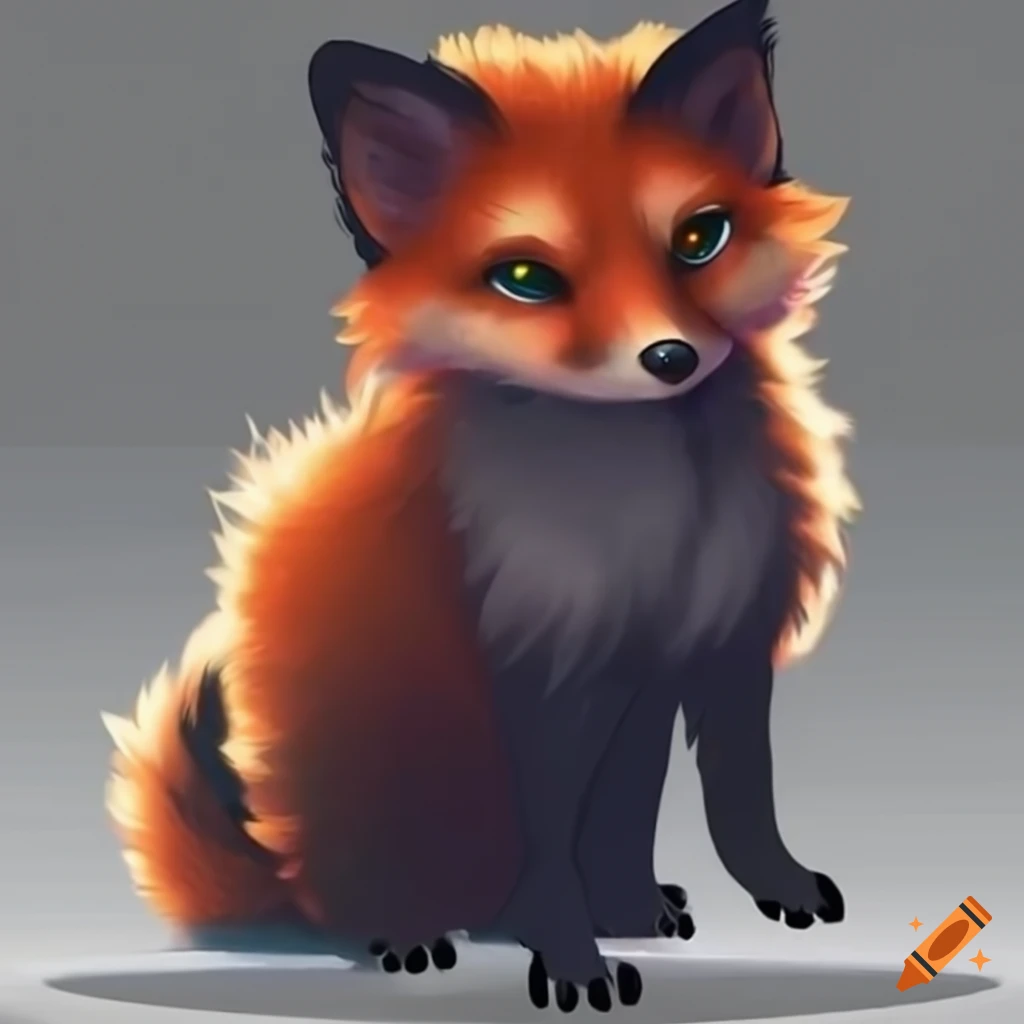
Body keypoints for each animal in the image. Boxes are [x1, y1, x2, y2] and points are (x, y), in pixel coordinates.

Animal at [102, 0, 859, 1013]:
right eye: (528, 279)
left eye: (700, 238)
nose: (669, 357)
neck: (661, 530)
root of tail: (291, 880)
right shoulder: (542, 684)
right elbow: (554, 853)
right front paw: (574, 964)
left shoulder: (708, 645)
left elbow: (738, 796)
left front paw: (763, 888)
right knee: (398, 895)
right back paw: (412, 935)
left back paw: (631, 907)